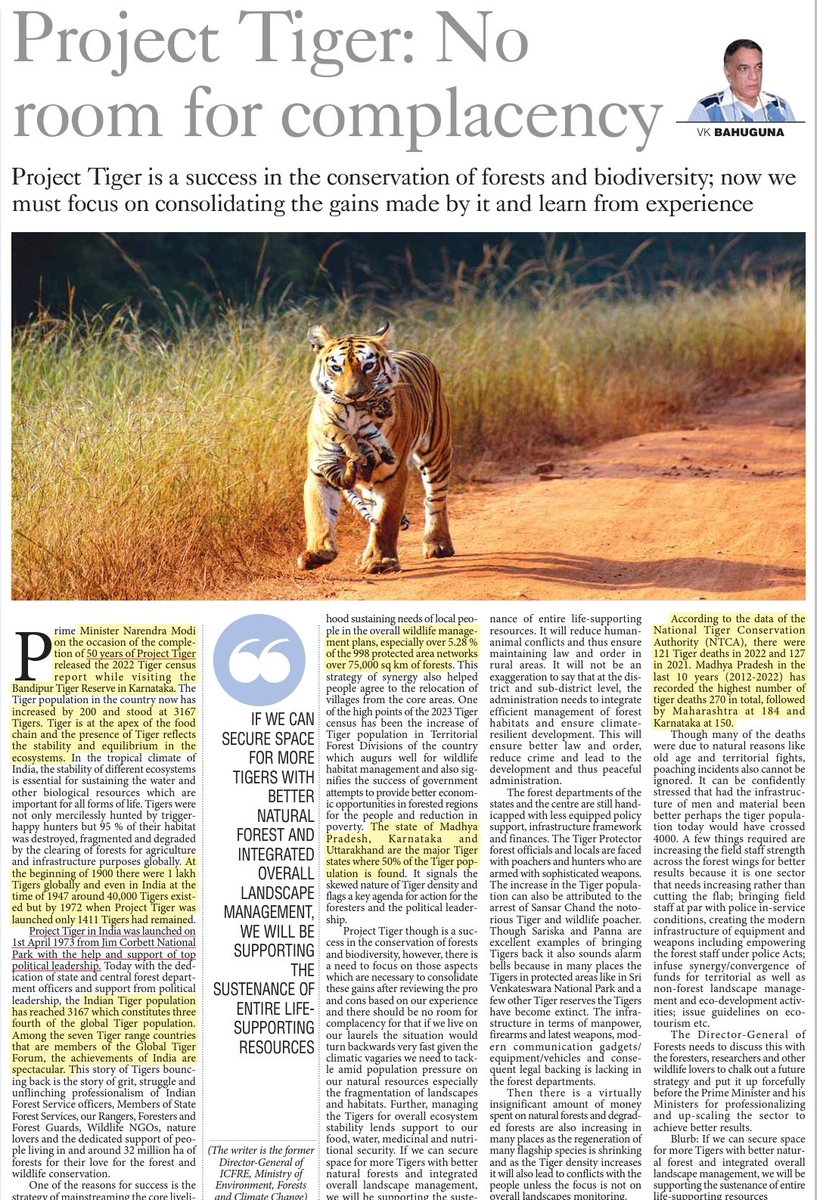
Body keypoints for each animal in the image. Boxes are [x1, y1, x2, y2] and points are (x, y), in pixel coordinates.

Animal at [298, 321, 454, 574]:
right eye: (336, 368)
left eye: (368, 366)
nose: (353, 395)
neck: (351, 418)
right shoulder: (319, 471)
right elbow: (319, 513)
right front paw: (317, 553)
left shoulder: (394, 473)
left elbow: (386, 519)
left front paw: (381, 560)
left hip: (437, 451)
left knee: (435, 499)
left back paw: (438, 544)